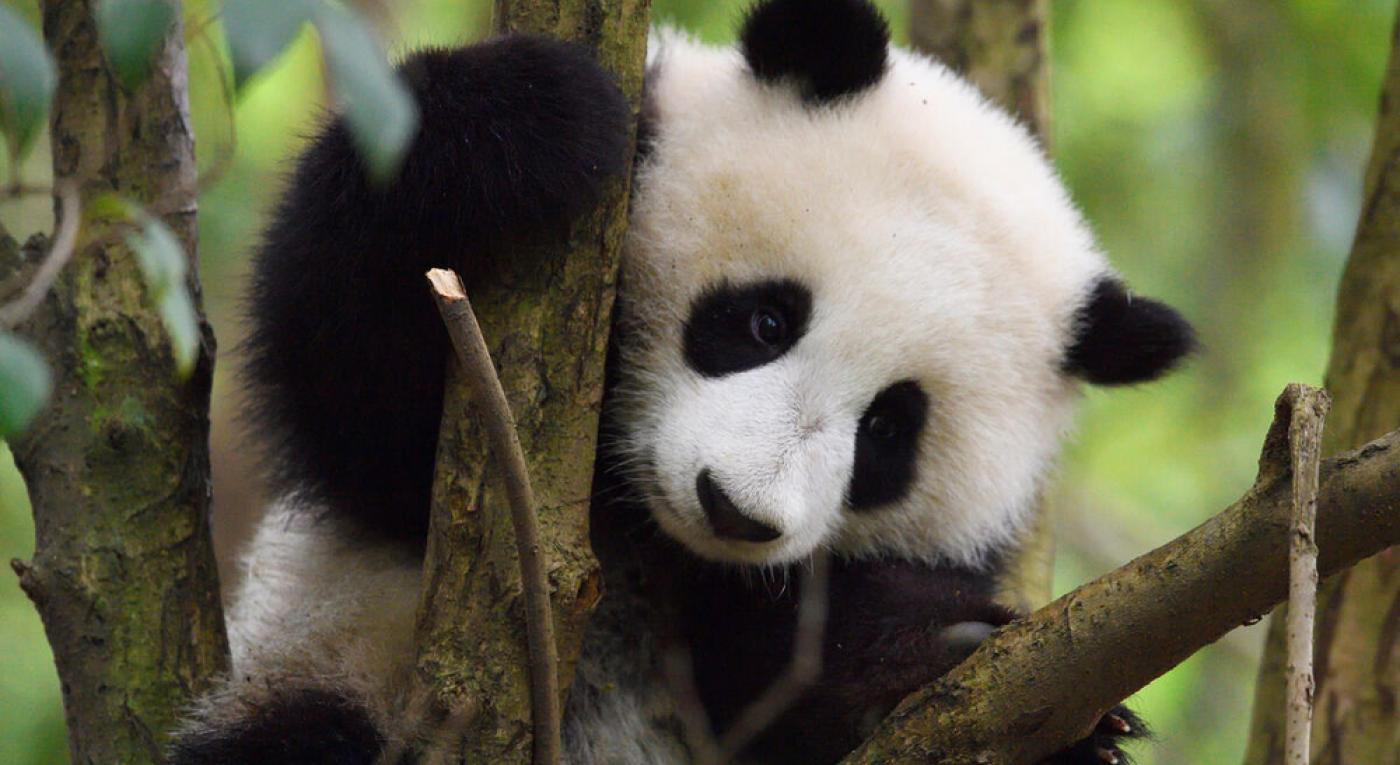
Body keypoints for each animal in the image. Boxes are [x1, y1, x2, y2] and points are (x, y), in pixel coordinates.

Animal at [169, 0, 1195, 763]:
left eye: (889, 433)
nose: (734, 510)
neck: (642, 532)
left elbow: (777, 660)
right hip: (332, 669)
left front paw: (948, 659)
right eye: (764, 320)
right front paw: (524, 118)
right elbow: (364, 405)